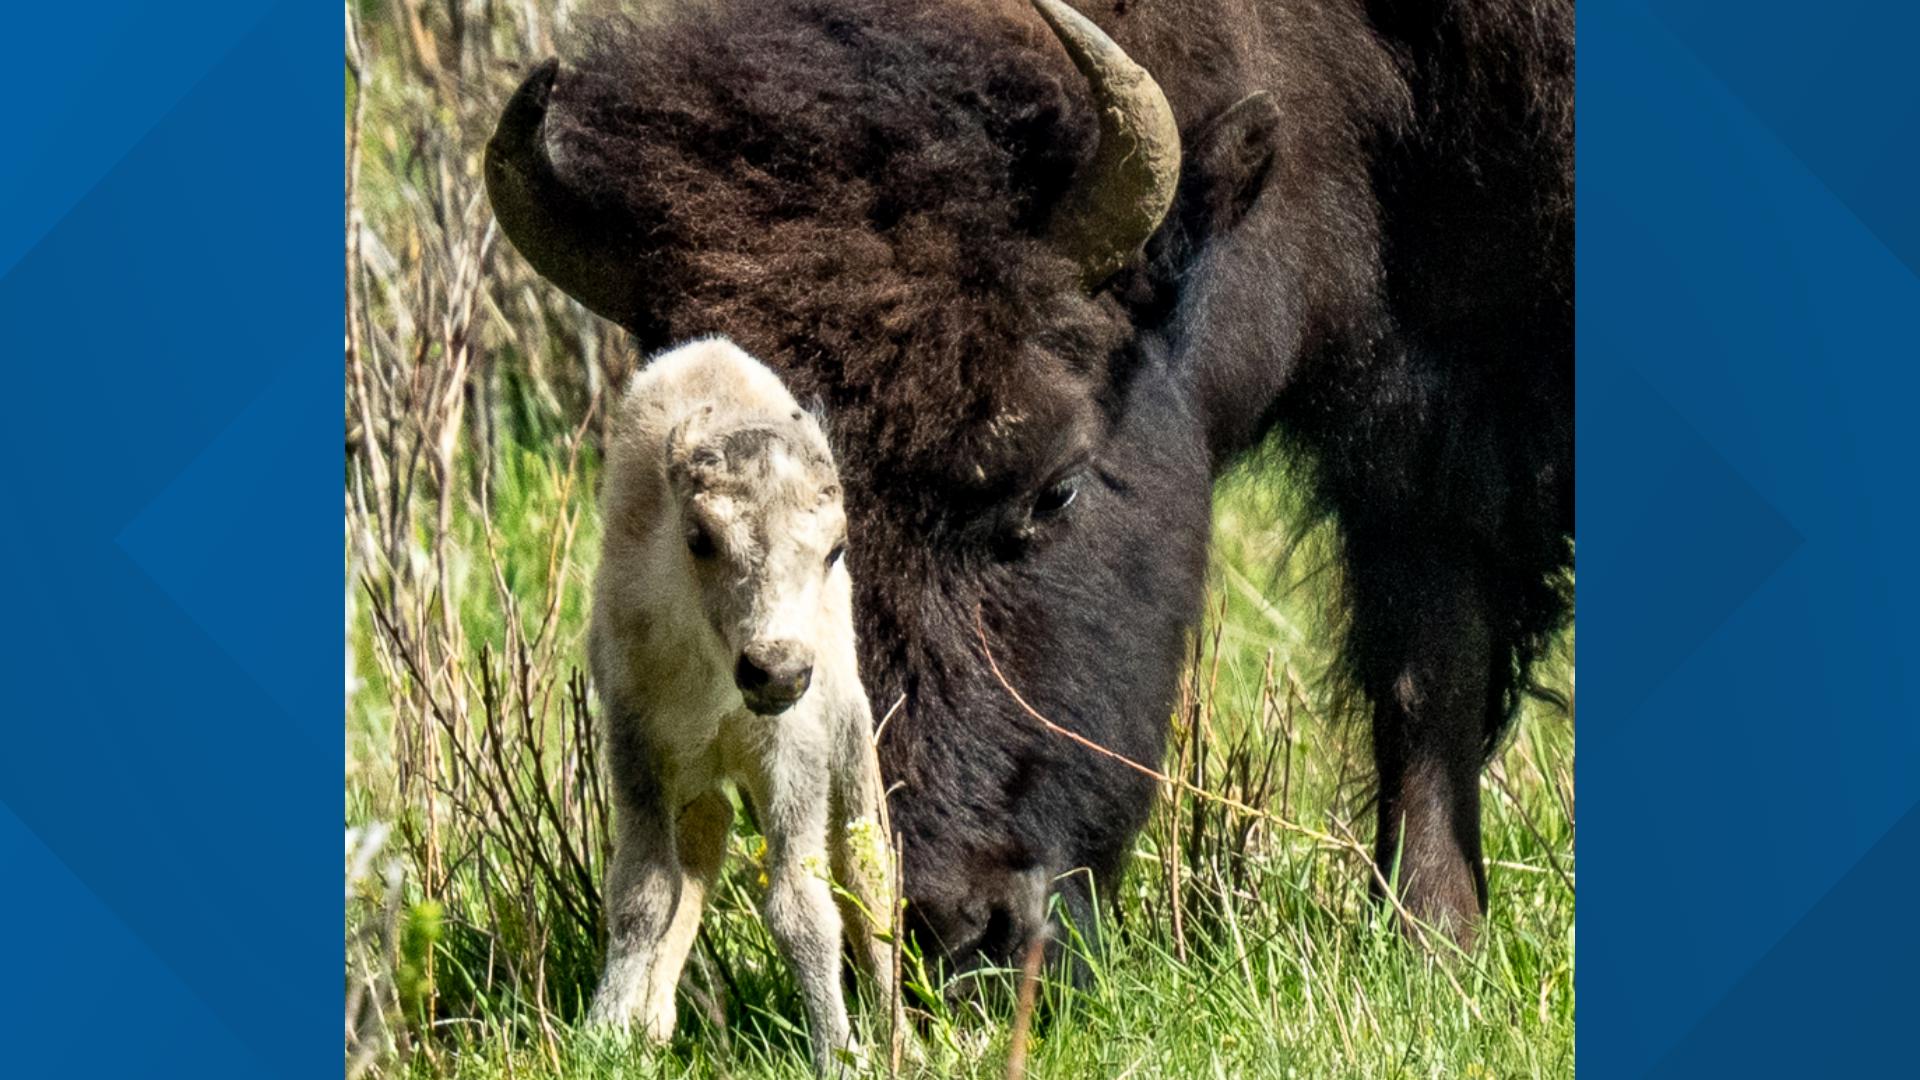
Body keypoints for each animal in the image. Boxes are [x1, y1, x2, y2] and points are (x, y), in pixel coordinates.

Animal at [486, 0, 1572, 969]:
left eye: (1058, 489)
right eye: (703, 535)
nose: (950, 930)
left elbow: (1434, 674)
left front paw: (1431, 948)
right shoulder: (1420, 430)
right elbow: (1424, 666)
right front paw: (1438, 947)